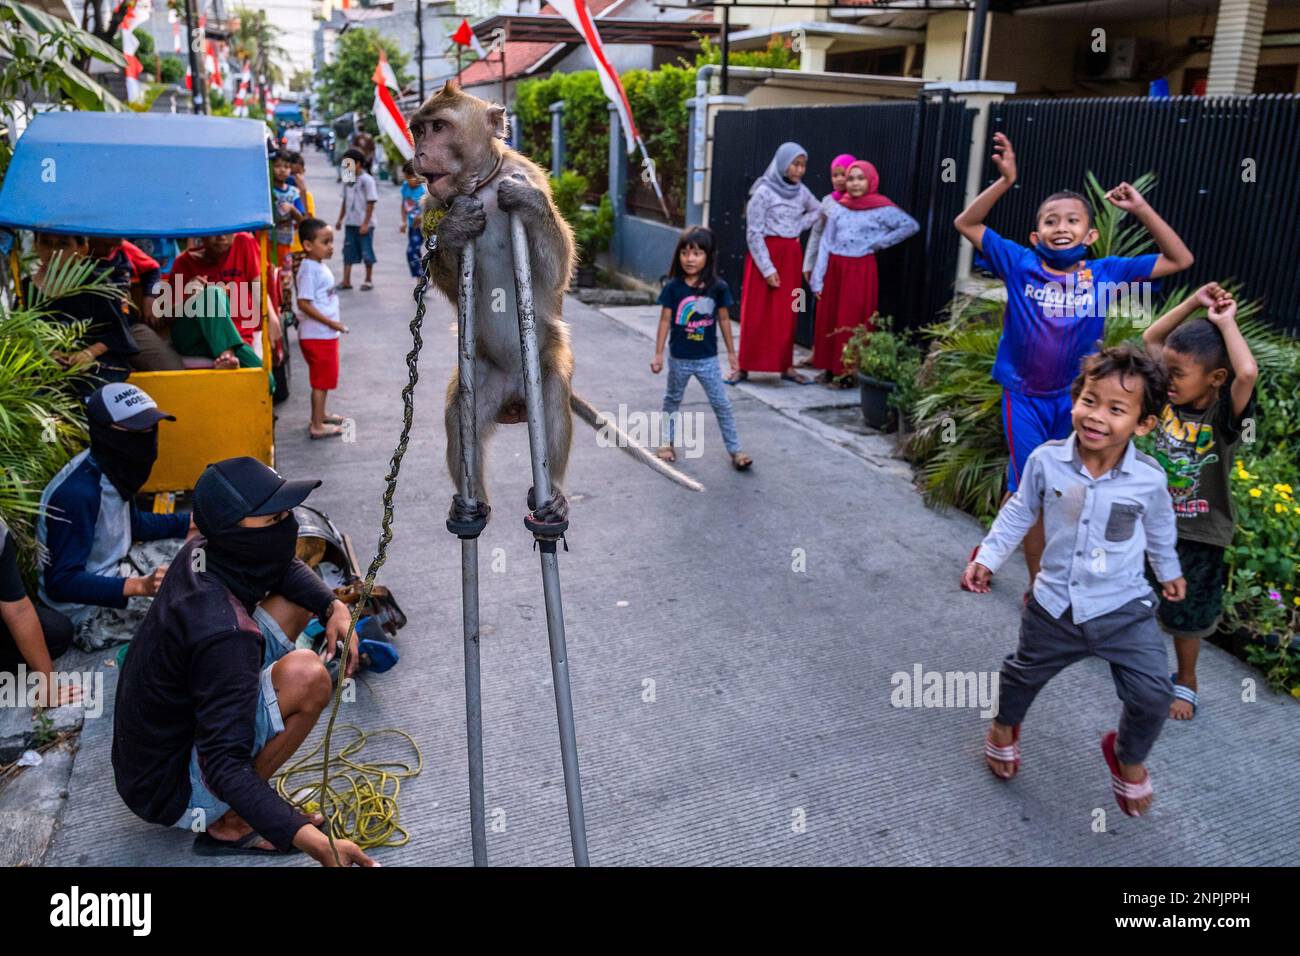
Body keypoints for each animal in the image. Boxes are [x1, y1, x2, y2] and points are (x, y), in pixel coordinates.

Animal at [410, 81, 577, 530]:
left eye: (438, 127)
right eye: (419, 129)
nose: (419, 152)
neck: (480, 188)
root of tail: (515, 401)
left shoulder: (528, 175)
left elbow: (555, 273)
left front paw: (529, 204)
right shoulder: (431, 206)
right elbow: (448, 276)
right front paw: (456, 228)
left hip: (540, 366)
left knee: (553, 401)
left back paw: (554, 496)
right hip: (484, 383)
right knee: (459, 418)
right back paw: (472, 503)